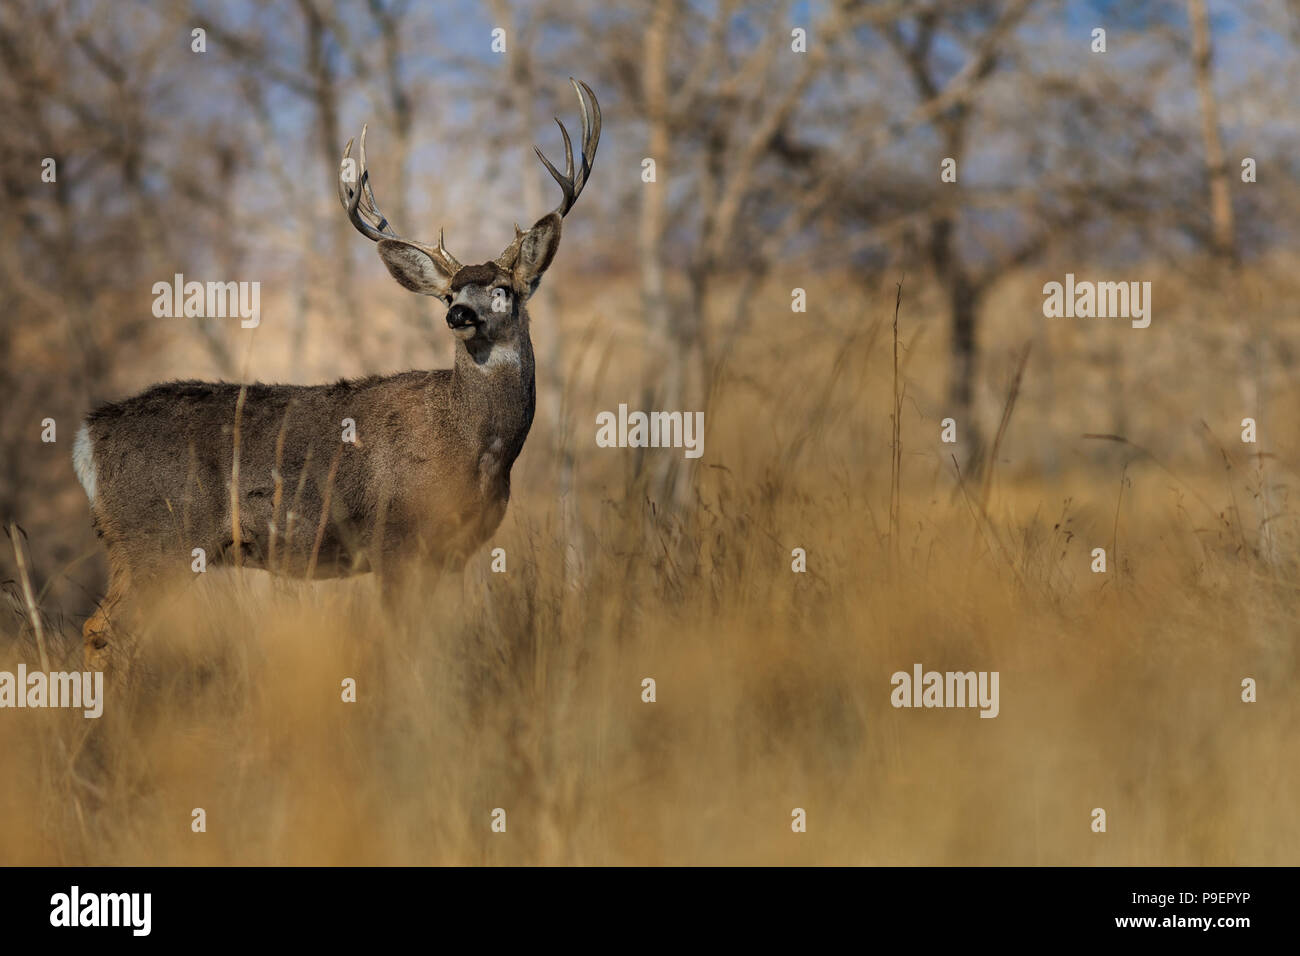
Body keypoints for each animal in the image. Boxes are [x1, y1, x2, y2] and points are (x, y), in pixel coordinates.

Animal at [72, 79, 600, 682]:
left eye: (502, 290)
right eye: (448, 292)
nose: (459, 314)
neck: (476, 444)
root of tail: (87, 439)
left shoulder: (454, 551)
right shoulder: (397, 541)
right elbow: (405, 646)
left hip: (140, 548)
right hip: (156, 540)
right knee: (101, 629)